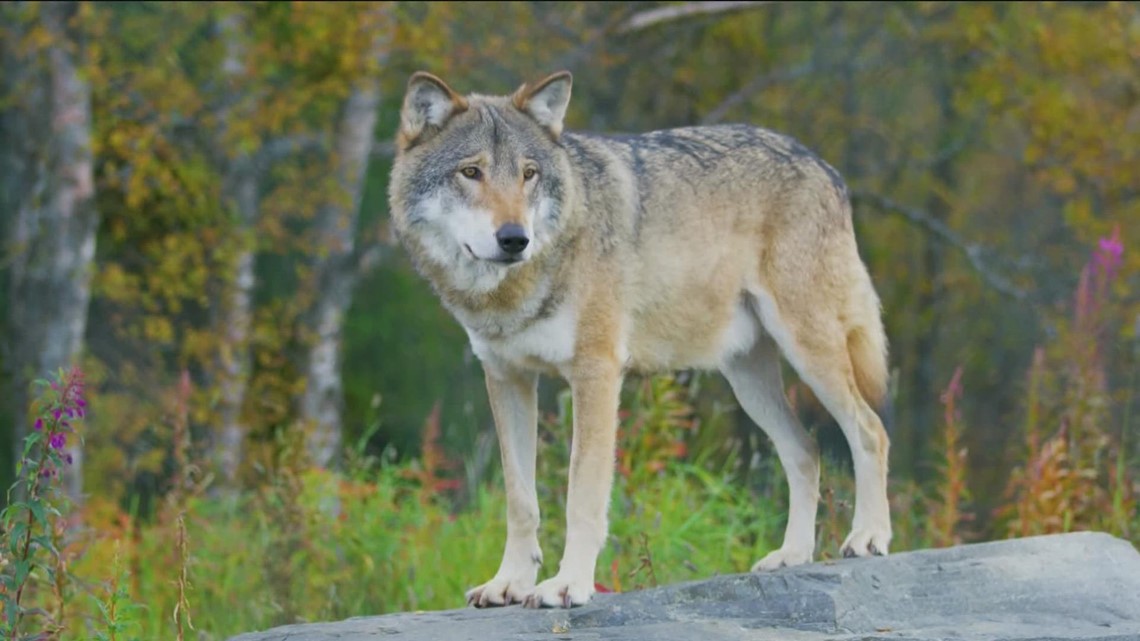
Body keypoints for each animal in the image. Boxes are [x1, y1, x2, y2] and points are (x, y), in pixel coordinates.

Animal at [388, 70, 892, 609]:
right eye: (471, 172)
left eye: (528, 174)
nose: (514, 238)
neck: (515, 290)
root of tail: (824, 166)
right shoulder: (507, 379)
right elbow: (521, 501)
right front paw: (510, 583)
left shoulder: (597, 372)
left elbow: (582, 492)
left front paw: (568, 584)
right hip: (748, 379)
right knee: (806, 450)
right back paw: (792, 556)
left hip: (809, 352)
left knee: (870, 430)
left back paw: (869, 537)